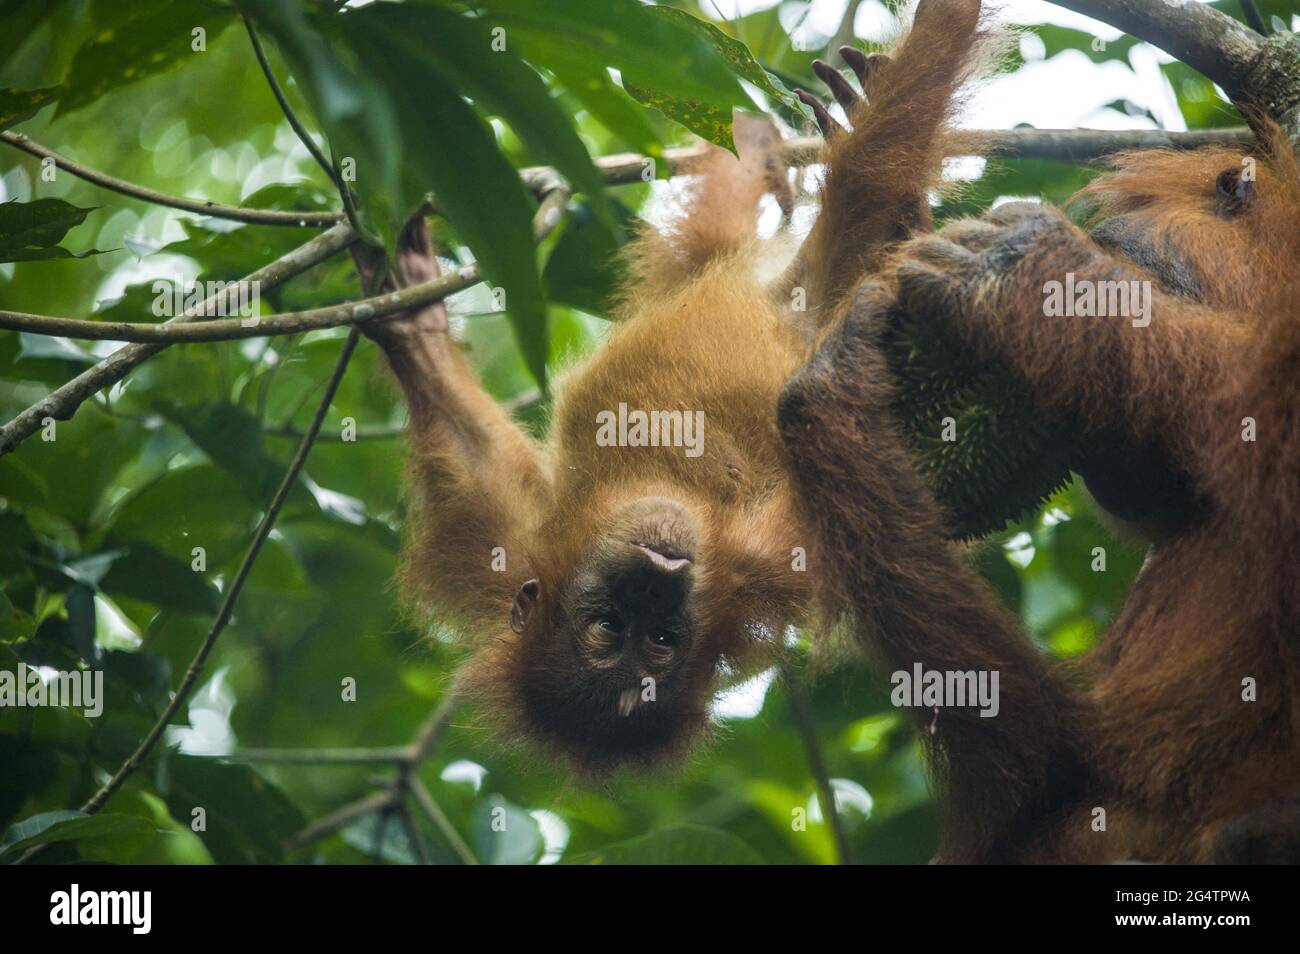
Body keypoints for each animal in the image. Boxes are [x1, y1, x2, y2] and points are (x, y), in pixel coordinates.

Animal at [352, 0, 990, 777]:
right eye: (616, 629)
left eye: (656, 639)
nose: (657, 572)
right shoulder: (746, 560)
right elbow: (475, 459)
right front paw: (416, 334)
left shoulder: (527, 552)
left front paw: (414, 326)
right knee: (852, 185)